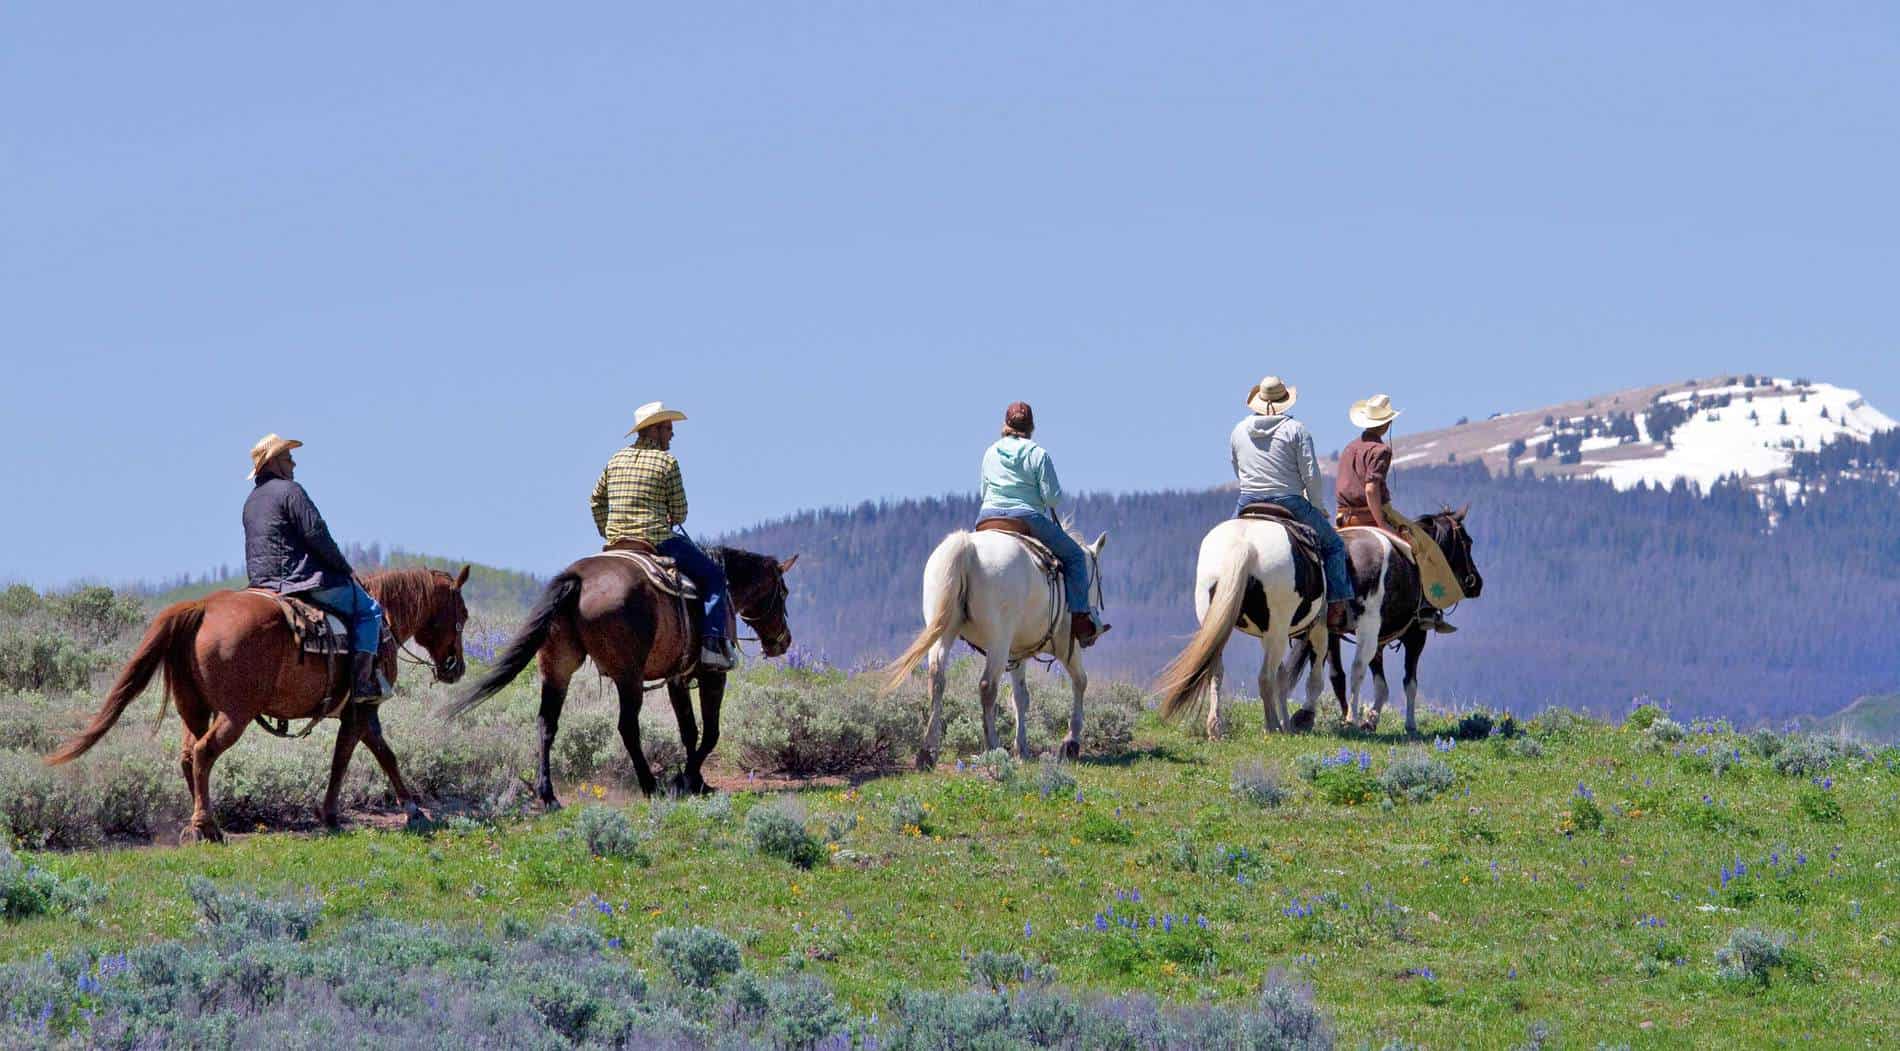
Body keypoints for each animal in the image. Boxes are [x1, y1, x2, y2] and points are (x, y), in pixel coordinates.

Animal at [446, 543, 794, 798]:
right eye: (784, 592)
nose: (783, 641)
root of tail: (578, 578)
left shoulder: (677, 679)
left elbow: (689, 731)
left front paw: (695, 781)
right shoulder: (713, 676)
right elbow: (709, 733)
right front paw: (685, 780)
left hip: (557, 667)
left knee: (546, 723)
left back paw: (548, 794)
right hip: (629, 679)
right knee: (628, 727)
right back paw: (650, 785)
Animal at [881, 520, 1109, 764]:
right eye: (1099, 579)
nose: (1094, 627)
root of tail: (967, 545)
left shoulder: (1018, 652)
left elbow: (1021, 697)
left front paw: (1022, 748)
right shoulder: (1066, 643)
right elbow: (1080, 681)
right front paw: (1071, 743)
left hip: (944, 633)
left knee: (937, 679)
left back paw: (928, 751)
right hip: (998, 639)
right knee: (987, 686)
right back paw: (993, 746)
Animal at [1147, 513, 1330, 733]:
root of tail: (1244, 545)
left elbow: (1283, 676)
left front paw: (1289, 724)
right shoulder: (1319, 626)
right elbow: (1314, 676)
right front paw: (1299, 720)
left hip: (1220, 623)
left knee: (1216, 671)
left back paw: (1216, 727)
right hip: (1278, 631)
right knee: (1266, 676)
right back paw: (1272, 726)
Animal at [1292, 505, 1482, 729]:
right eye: (1468, 542)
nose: (1477, 583)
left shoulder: (1379, 639)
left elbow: (1380, 684)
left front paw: (1371, 720)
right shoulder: (1415, 636)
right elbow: (1409, 682)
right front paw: (1409, 725)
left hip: (1329, 629)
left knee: (1330, 671)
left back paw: (1315, 714)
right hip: (1366, 627)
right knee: (1356, 668)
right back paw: (1350, 717)